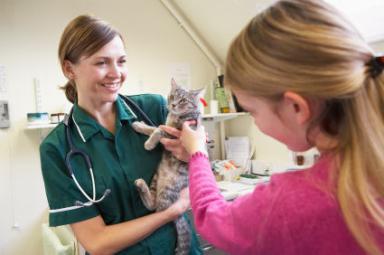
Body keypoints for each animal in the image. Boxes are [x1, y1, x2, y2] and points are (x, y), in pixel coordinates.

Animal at [131, 78, 204, 254]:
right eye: (172, 96)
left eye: (183, 100)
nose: (173, 105)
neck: (176, 116)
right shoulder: (167, 124)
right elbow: (155, 126)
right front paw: (140, 125)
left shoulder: (178, 132)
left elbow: (158, 130)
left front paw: (149, 143)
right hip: (156, 177)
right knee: (153, 204)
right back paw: (141, 186)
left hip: (167, 190)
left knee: (158, 209)